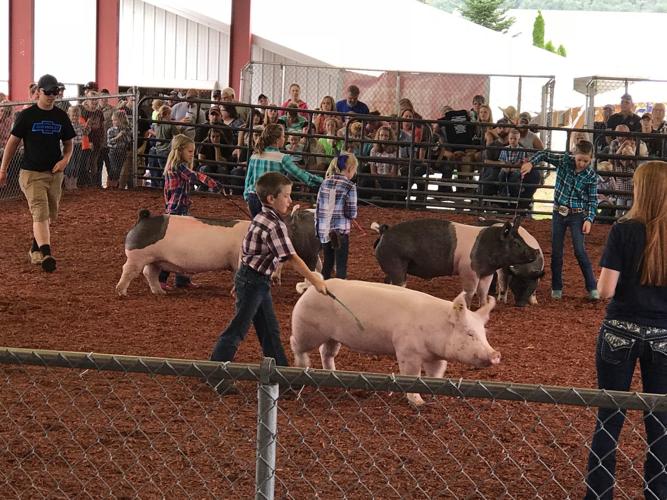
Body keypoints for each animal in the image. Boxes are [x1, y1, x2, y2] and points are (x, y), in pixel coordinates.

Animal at [290, 278, 500, 406]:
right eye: (469, 333)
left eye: (484, 333)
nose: (496, 355)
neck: (434, 327)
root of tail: (312, 287)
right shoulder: (407, 351)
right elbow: (412, 375)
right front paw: (418, 402)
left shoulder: (435, 357)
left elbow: (436, 373)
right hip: (307, 329)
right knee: (296, 344)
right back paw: (302, 364)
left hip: (333, 337)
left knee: (326, 352)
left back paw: (334, 375)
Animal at [371, 217, 538, 307]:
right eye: (516, 243)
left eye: (522, 239)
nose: (536, 251)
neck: (488, 246)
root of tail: (384, 232)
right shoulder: (469, 270)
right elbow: (470, 291)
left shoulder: (487, 273)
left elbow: (483, 292)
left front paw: (484, 307)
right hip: (396, 263)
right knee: (398, 284)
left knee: (386, 281)